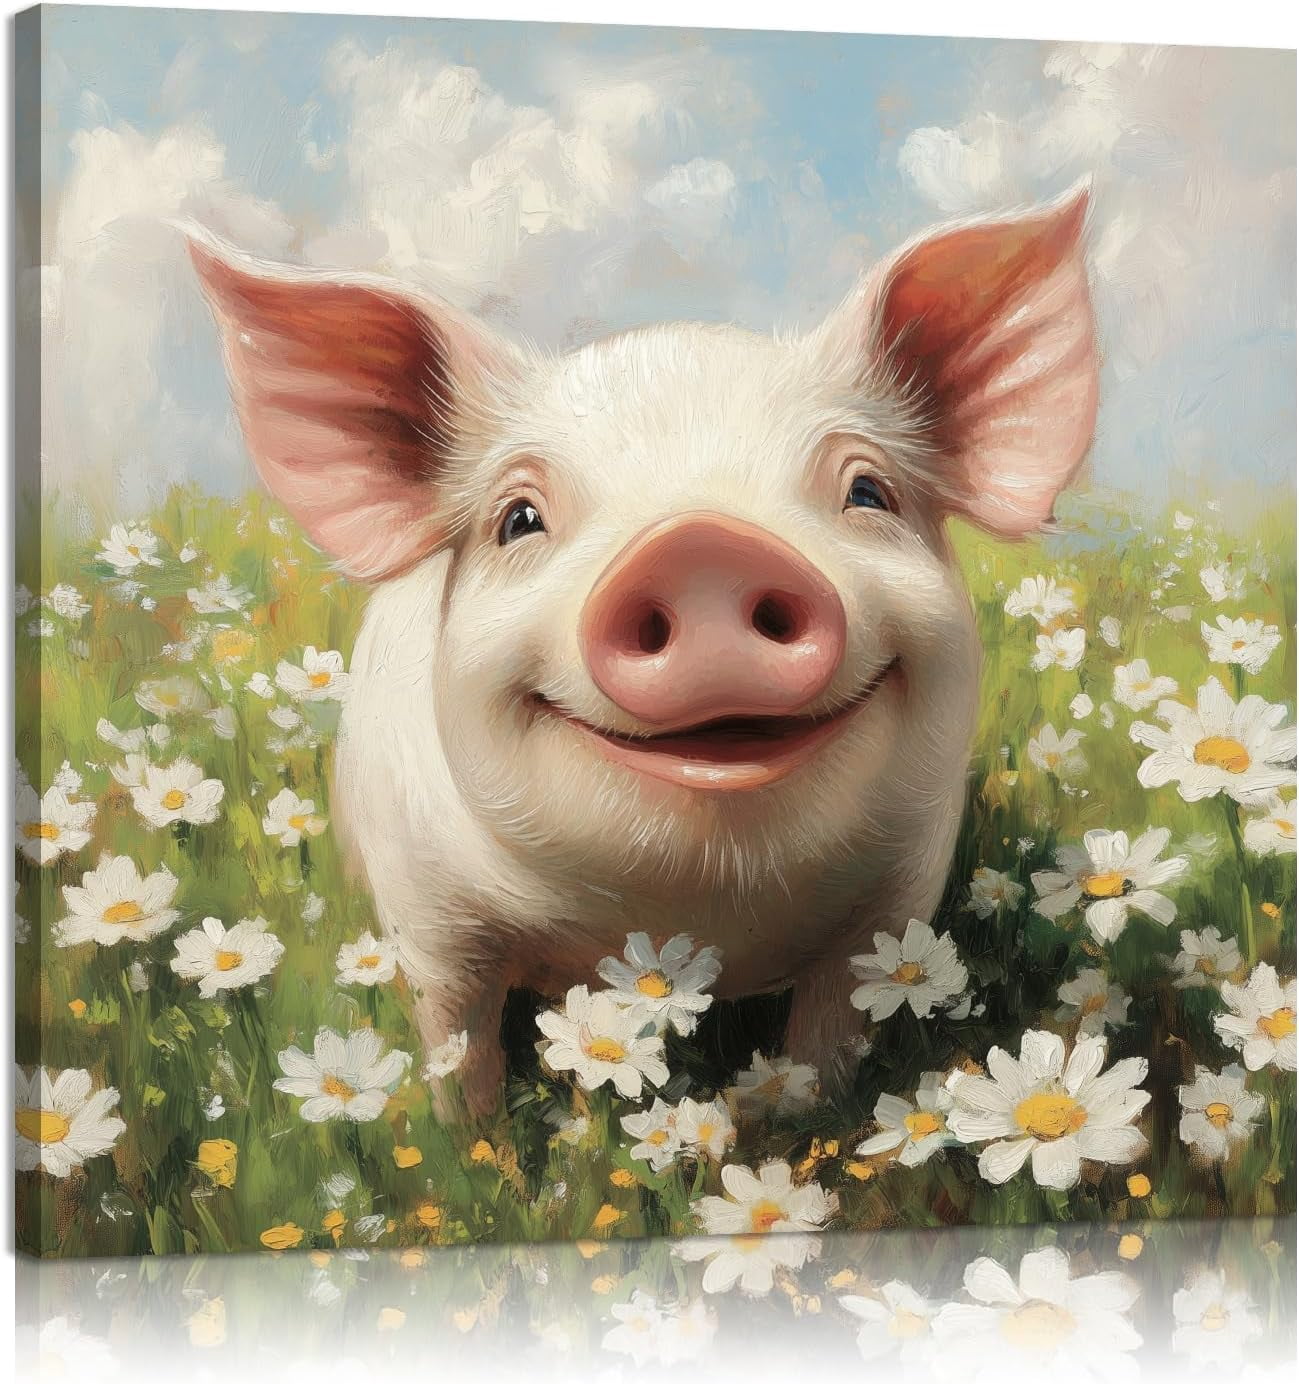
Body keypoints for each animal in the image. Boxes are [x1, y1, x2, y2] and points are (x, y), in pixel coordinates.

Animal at [189, 183, 1097, 1115]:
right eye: (519, 517)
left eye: (867, 491)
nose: (701, 543)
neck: (697, 915)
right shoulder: (428, 918)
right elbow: (456, 1049)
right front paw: (477, 1143)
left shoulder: (894, 900)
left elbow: (827, 1044)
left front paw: (783, 1119)